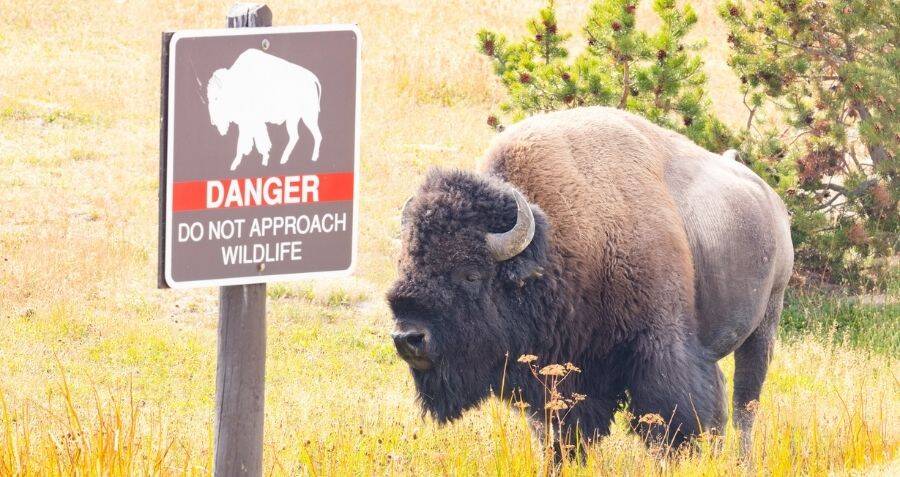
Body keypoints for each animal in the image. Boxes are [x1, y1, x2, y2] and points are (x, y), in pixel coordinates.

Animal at [388, 107, 793, 450]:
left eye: (471, 274)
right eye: (406, 263)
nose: (408, 338)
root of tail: (771, 200)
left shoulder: (658, 350)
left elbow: (671, 418)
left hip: (765, 323)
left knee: (745, 404)